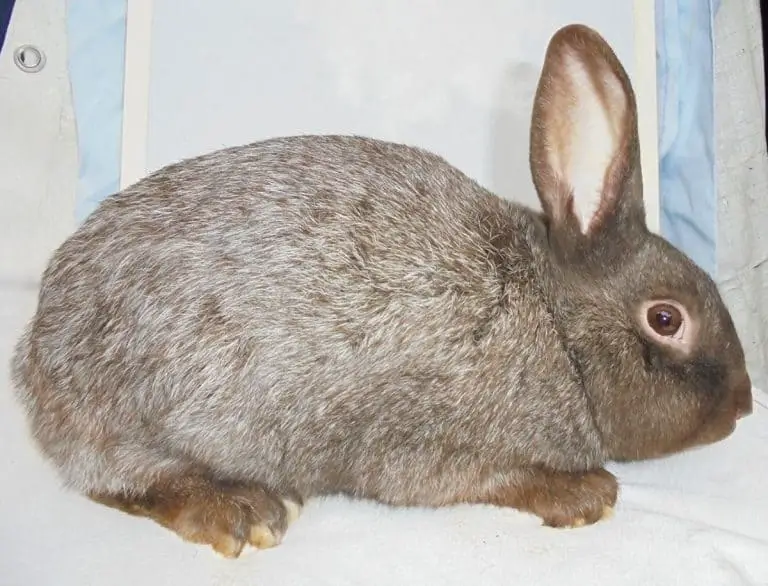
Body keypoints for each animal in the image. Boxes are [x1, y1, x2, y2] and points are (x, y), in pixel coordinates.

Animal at [10, 24, 753, 559]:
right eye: (666, 319)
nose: (744, 406)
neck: (555, 324)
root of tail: (36, 348)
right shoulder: (429, 441)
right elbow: (486, 478)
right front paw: (584, 496)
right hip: (133, 418)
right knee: (120, 481)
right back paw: (242, 512)